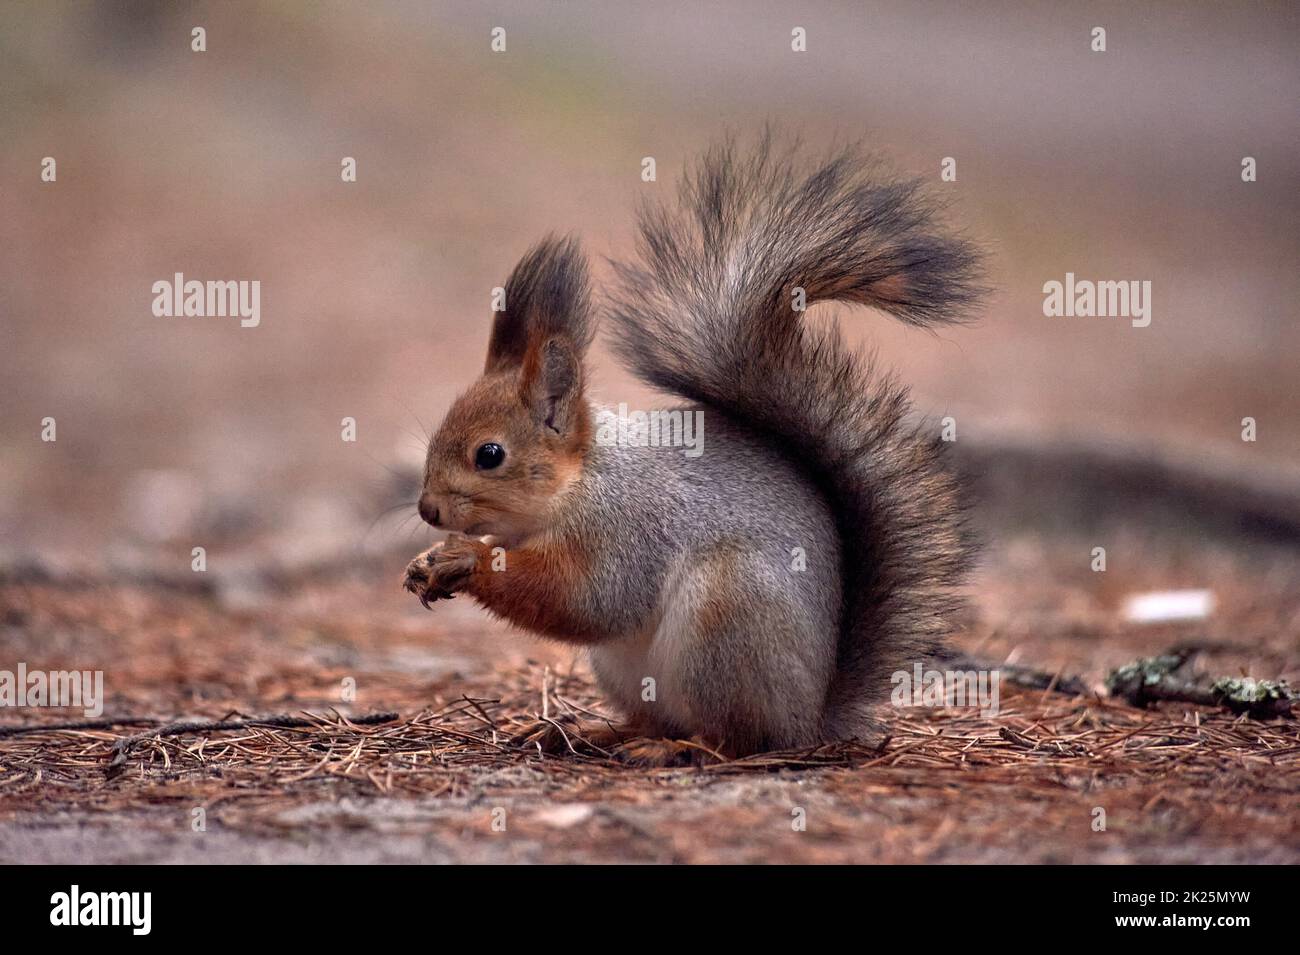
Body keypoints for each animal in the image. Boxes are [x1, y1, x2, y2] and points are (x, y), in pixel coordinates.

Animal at [403, 132, 984, 764]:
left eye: (489, 455)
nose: (427, 510)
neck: (580, 483)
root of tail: (811, 717)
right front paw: (427, 562)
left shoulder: (626, 531)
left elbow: (586, 598)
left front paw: (467, 559)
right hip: (627, 669)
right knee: (656, 719)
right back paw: (594, 732)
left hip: (726, 620)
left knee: (736, 739)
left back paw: (675, 750)